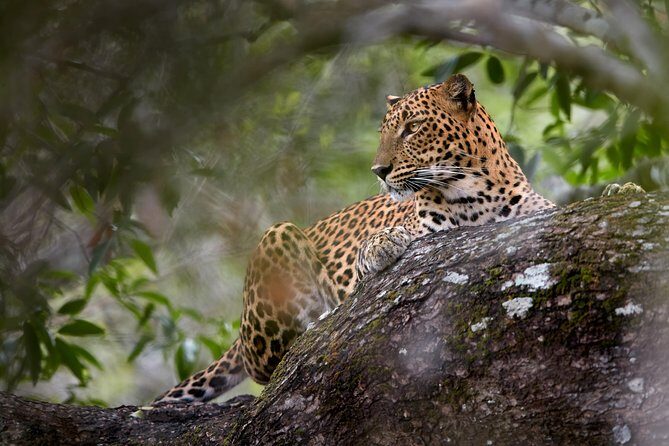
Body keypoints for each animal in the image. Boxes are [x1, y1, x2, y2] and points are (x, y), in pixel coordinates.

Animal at [154, 73, 623, 404]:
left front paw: (622, 188)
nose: (378, 171)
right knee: (268, 365)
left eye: (412, 128)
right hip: (277, 237)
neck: (478, 191)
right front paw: (382, 244)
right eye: (384, 131)